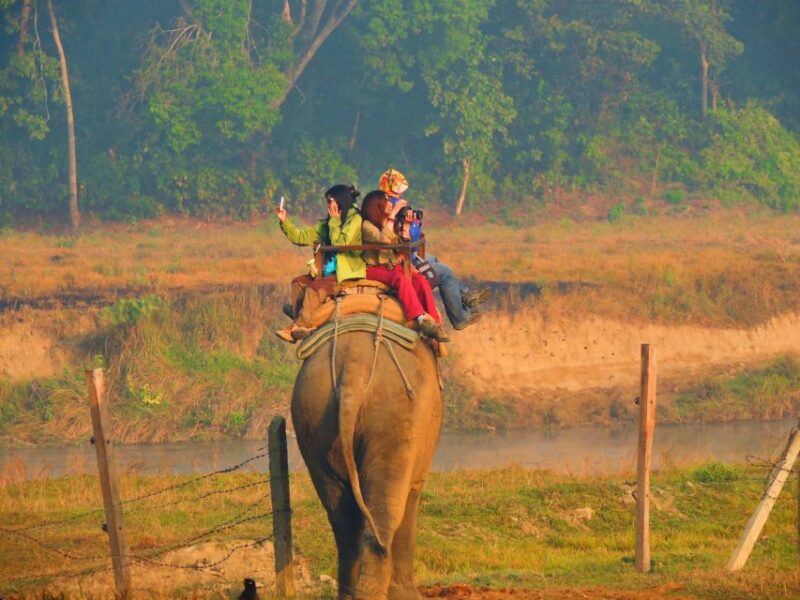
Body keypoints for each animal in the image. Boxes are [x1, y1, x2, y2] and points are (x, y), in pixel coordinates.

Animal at [291, 330, 443, 600]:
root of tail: (353, 365)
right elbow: (412, 495)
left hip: (313, 415)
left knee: (340, 513)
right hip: (394, 417)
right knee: (385, 509)